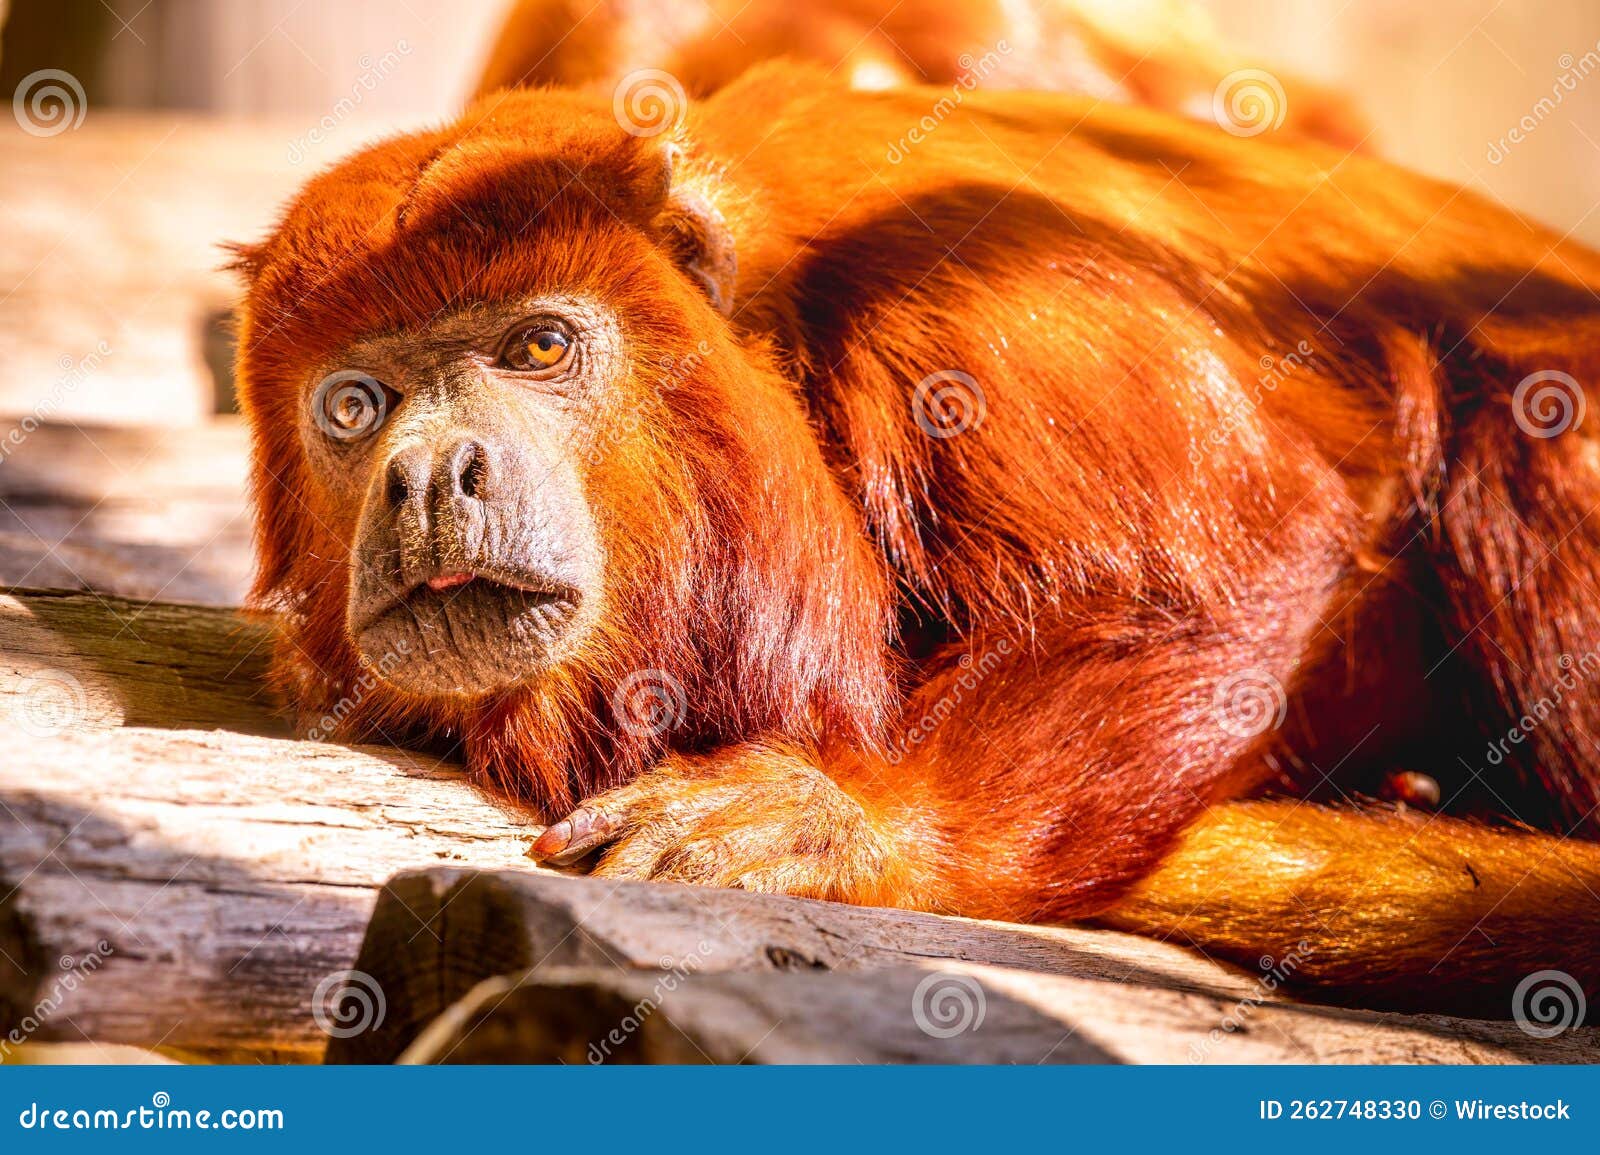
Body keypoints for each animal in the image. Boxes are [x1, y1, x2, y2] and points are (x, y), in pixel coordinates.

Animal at [231, 62, 1600, 1019]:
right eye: (354, 407)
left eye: (538, 345)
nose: (428, 474)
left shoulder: (981, 292)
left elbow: (1221, 570)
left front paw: (847, 822)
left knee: (1522, 418)